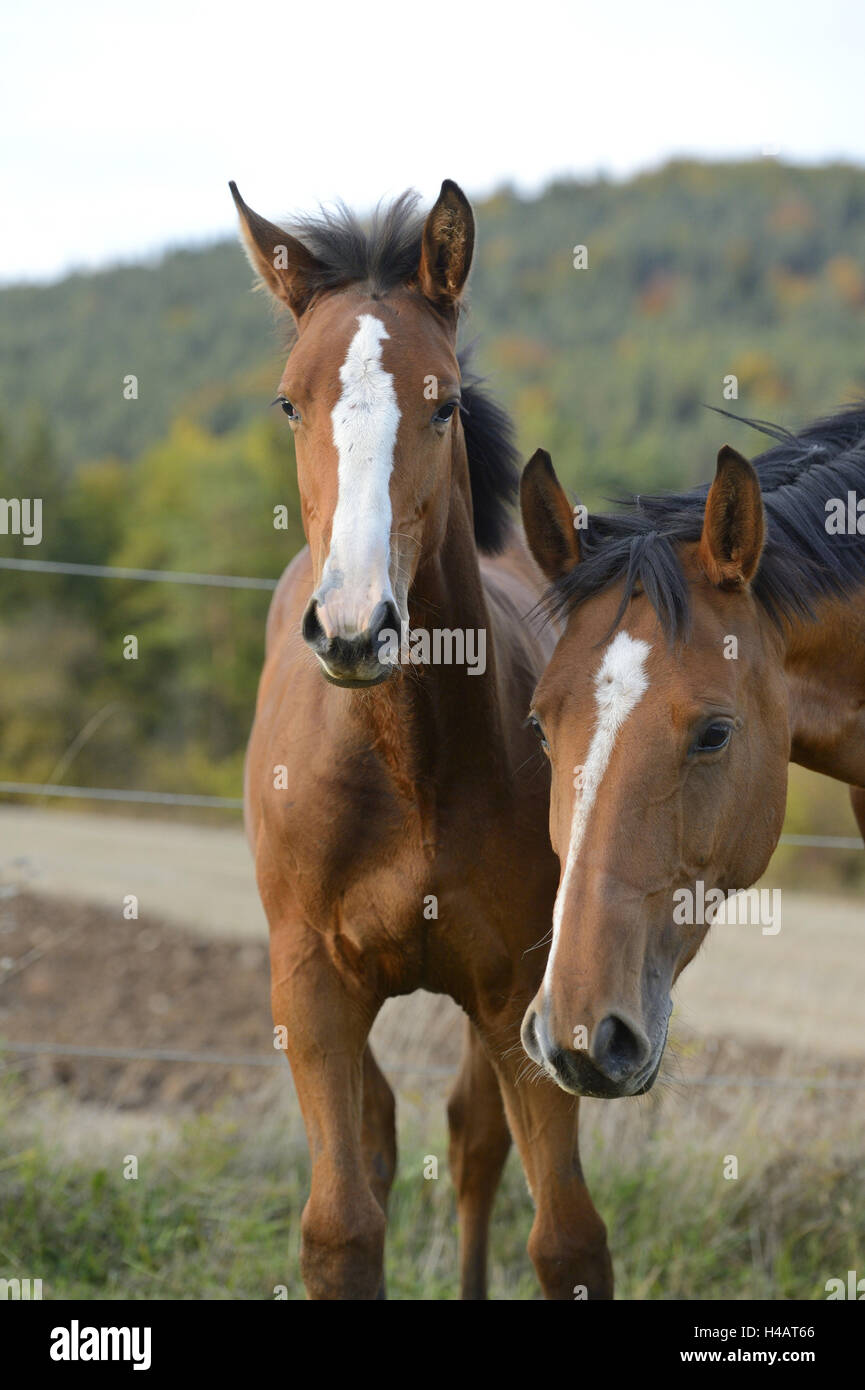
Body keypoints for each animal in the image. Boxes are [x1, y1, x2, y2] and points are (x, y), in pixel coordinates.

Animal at [231, 179, 613, 1299]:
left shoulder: (524, 994)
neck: (408, 767)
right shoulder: (313, 983)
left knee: (474, 1142)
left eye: (441, 403)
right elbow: (341, 1227)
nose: (356, 625)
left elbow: (566, 1237)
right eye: (290, 402)